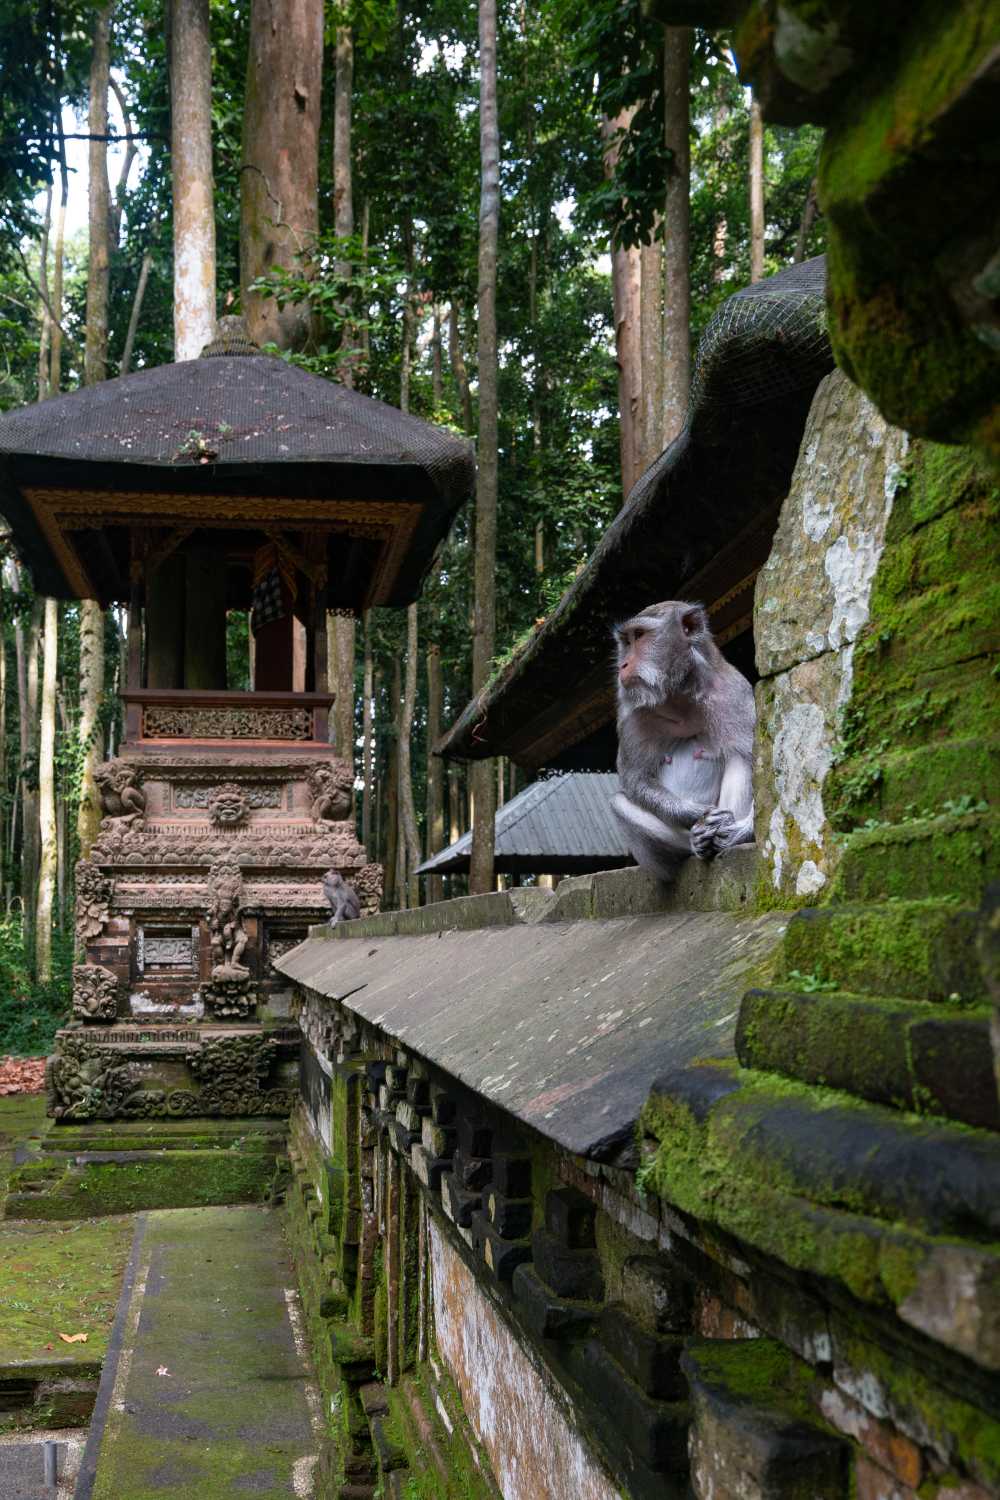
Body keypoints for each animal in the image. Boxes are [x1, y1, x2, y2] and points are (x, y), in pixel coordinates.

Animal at [611, 601, 755, 882]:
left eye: (639, 636)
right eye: (626, 641)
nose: (623, 665)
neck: (680, 697)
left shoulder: (736, 694)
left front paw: (739, 831)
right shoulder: (632, 717)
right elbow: (636, 779)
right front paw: (698, 814)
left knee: (739, 756)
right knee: (618, 803)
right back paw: (696, 842)